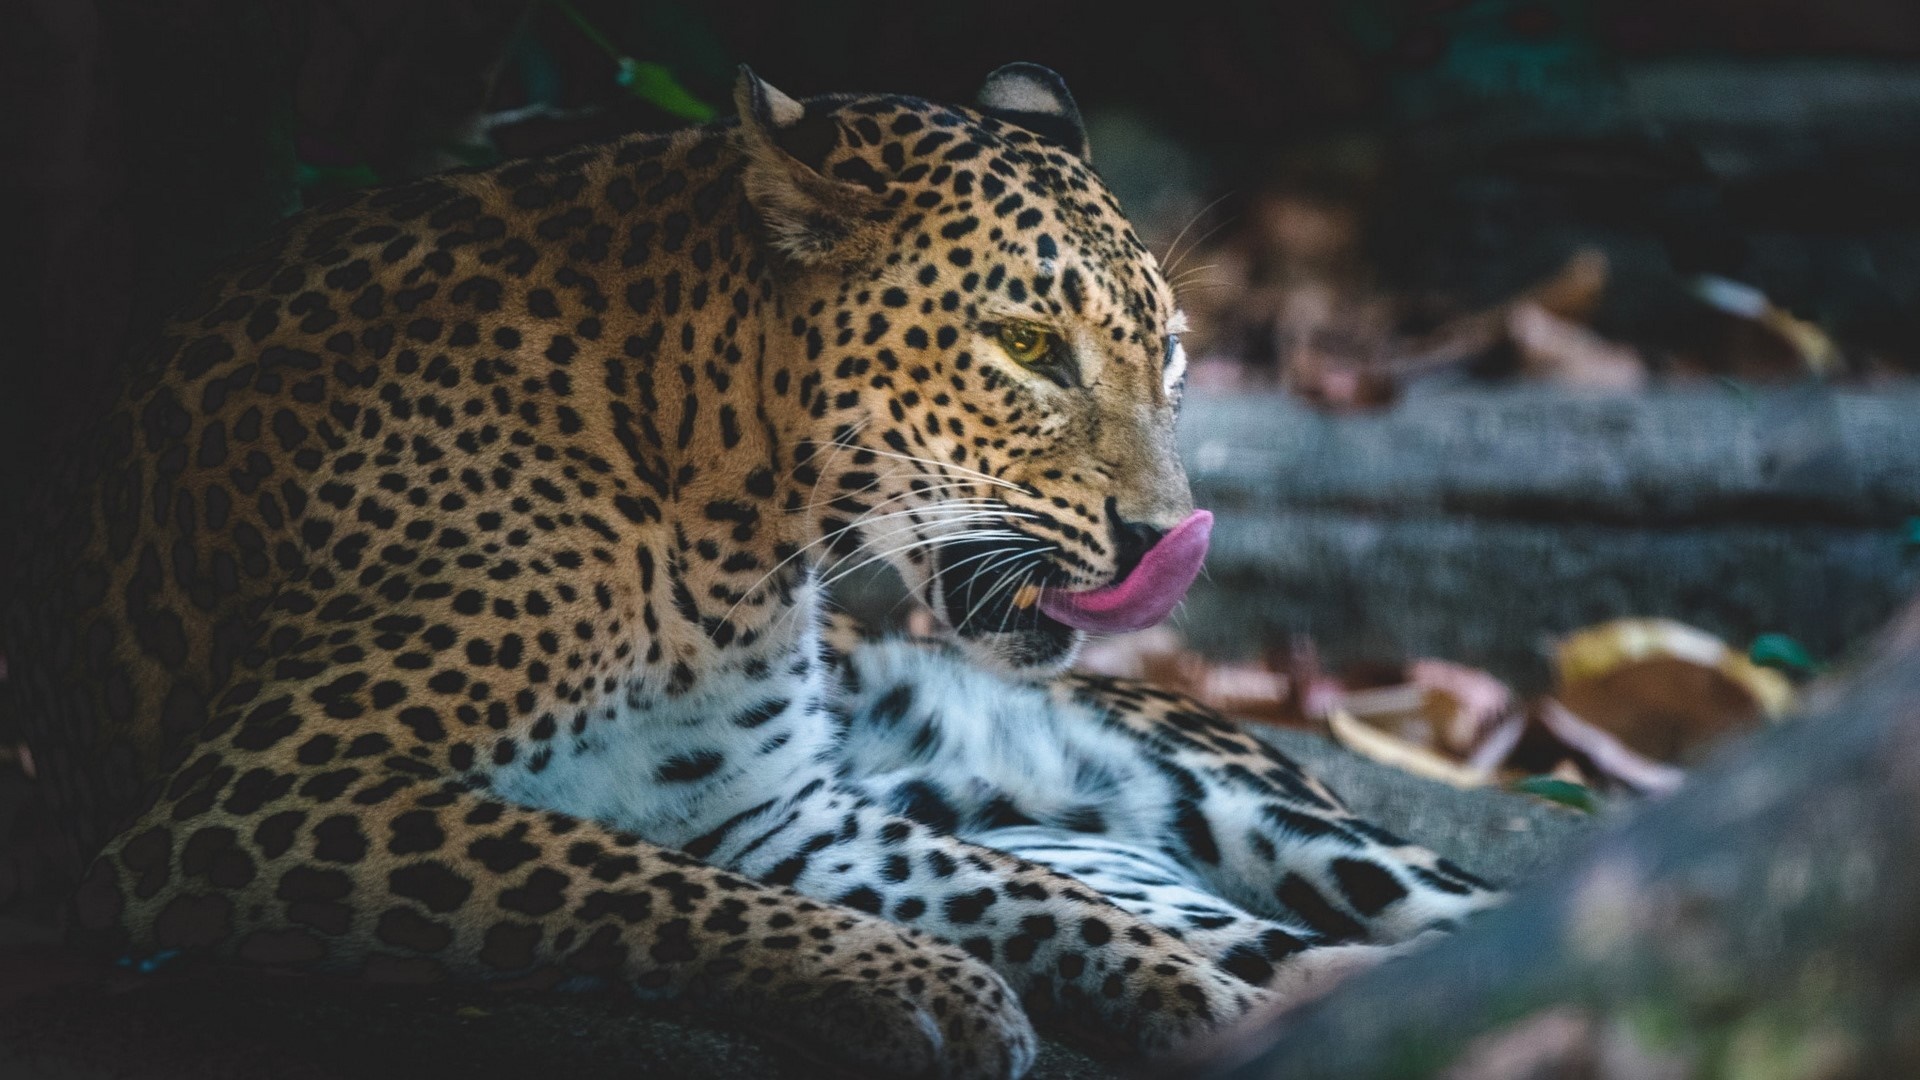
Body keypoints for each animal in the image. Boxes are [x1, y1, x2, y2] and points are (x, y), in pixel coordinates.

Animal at [0, 62, 1499, 1078]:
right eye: (1027, 346)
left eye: (1172, 350)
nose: (1165, 537)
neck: (727, 523)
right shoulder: (257, 797)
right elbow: (614, 875)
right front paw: (935, 987)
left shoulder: (766, 812)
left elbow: (999, 885)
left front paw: (1164, 994)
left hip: (1254, 806)